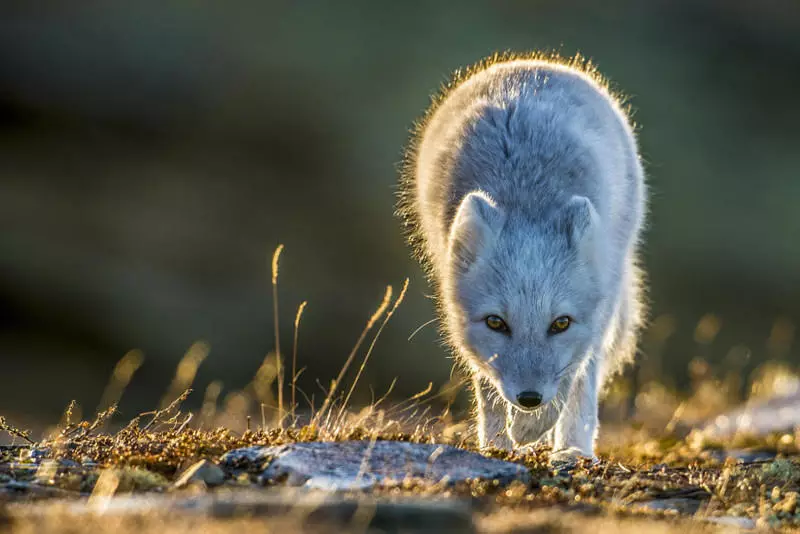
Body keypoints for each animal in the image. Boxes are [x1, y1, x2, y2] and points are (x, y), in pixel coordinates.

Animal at [396, 54, 648, 464]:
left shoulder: (592, 319)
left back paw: (571, 448)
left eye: (560, 323)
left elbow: (571, 381)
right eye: (496, 323)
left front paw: (538, 432)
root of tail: (531, 64)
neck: (526, 196)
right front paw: (500, 444)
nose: (529, 398)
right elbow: (489, 389)